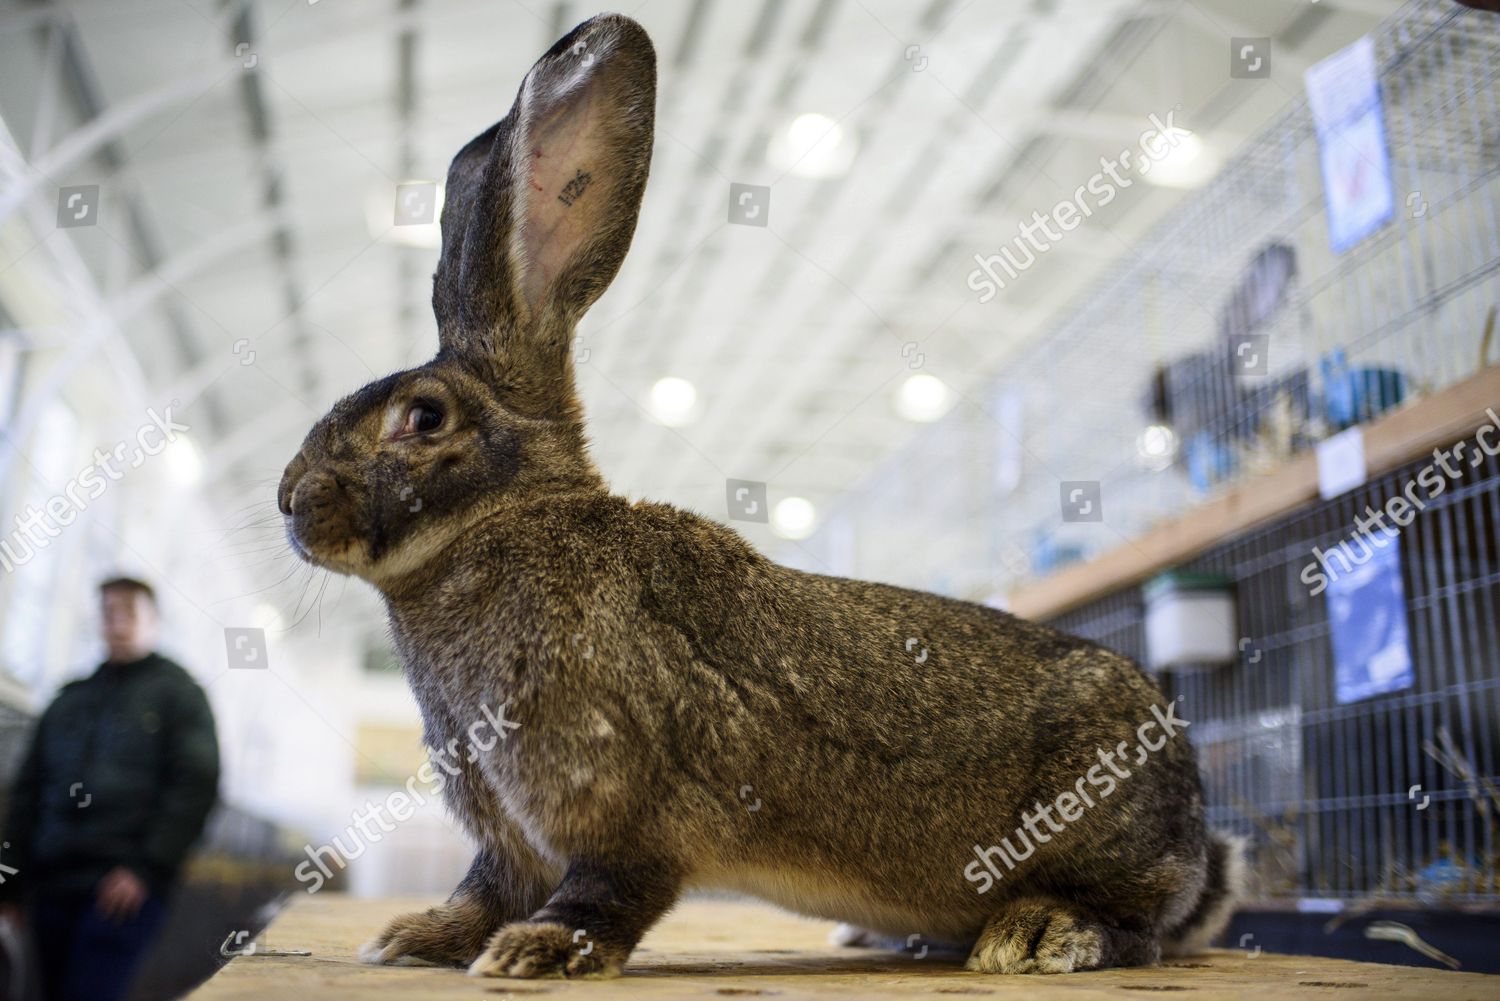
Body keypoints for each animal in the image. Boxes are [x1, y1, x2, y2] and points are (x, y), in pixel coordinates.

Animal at [278, 12, 1244, 980]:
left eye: (424, 416)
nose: (289, 499)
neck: (507, 520)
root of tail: (1198, 827)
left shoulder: (627, 807)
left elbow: (607, 889)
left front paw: (538, 951)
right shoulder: (506, 833)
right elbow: (483, 888)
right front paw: (416, 939)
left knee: (1141, 924)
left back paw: (1040, 932)